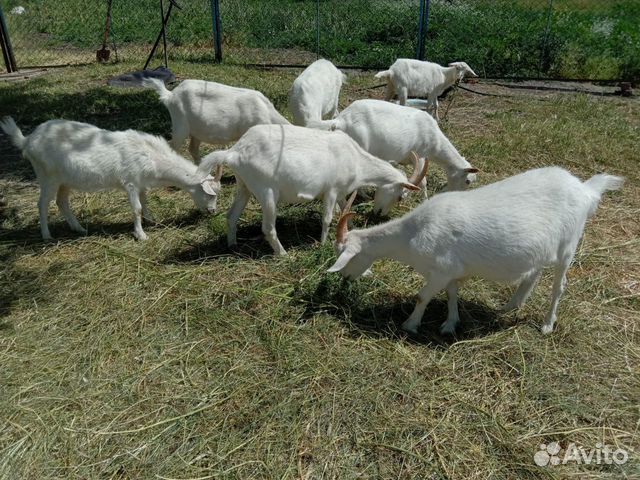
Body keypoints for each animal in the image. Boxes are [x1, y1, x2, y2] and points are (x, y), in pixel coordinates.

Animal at [0, 117, 221, 241]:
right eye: (210, 194)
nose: (213, 212)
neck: (151, 155)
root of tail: (28, 140)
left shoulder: (141, 184)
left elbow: (145, 202)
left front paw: (151, 220)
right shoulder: (130, 182)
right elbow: (136, 208)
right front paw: (141, 235)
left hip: (65, 180)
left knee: (61, 202)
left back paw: (79, 228)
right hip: (47, 176)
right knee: (43, 204)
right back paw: (46, 235)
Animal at [197, 124, 428, 256]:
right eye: (400, 197)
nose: (379, 214)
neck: (355, 158)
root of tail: (234, 152)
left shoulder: (342, 191)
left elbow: (344, 208)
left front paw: (351, 226)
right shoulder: (331, 190)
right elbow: (327, 218)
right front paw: (323, 243)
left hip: (244, 186)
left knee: (232, 215)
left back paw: (233, 245)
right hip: (266, 191)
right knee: (268, 227)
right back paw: (283, 254)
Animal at [328, 167, 623, 335]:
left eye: (345, 256)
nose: (345, 279)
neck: (412, 233)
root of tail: (585, 191)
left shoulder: (441, 269)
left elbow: (423, 296)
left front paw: (410, 325)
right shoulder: (451, 271)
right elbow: (452, 294)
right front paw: (450, 324)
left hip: (568, 246)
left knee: (558, 286)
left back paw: (547, 325)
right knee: (533, 273)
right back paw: (510, 306)